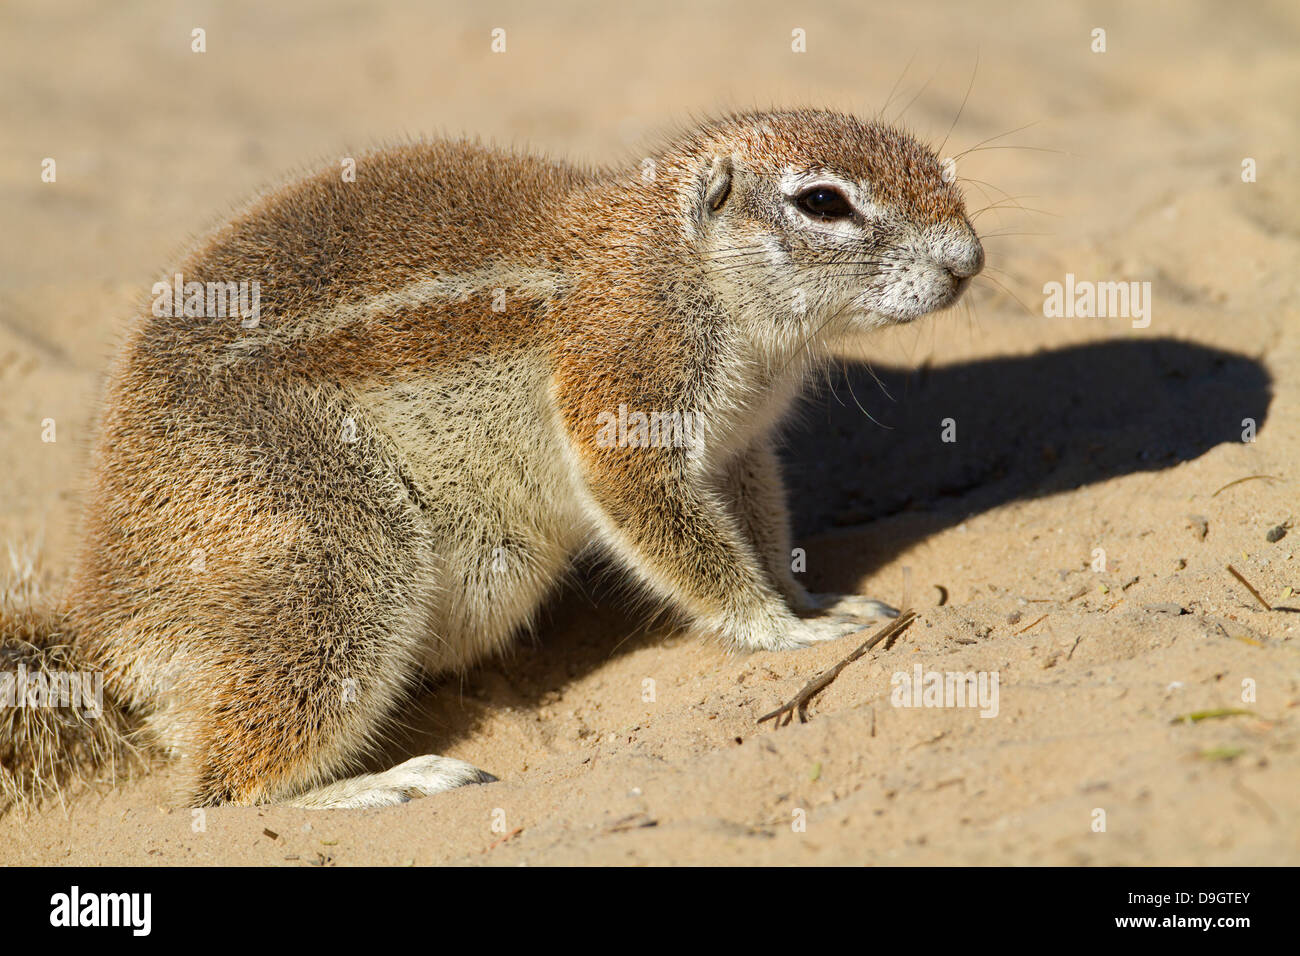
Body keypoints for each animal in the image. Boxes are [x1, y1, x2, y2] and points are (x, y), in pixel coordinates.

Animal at [0, 109, 982, 810]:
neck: (677, 261)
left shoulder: (741, 445)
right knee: (222, 790)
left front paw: (811, 599)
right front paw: (783, 630)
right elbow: (670, 530)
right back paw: (380, 784)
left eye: (940, 172)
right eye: (823, 202)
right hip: (336, 549)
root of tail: (102, 621)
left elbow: (760, 524)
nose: (971, 261)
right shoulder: (625, 379)